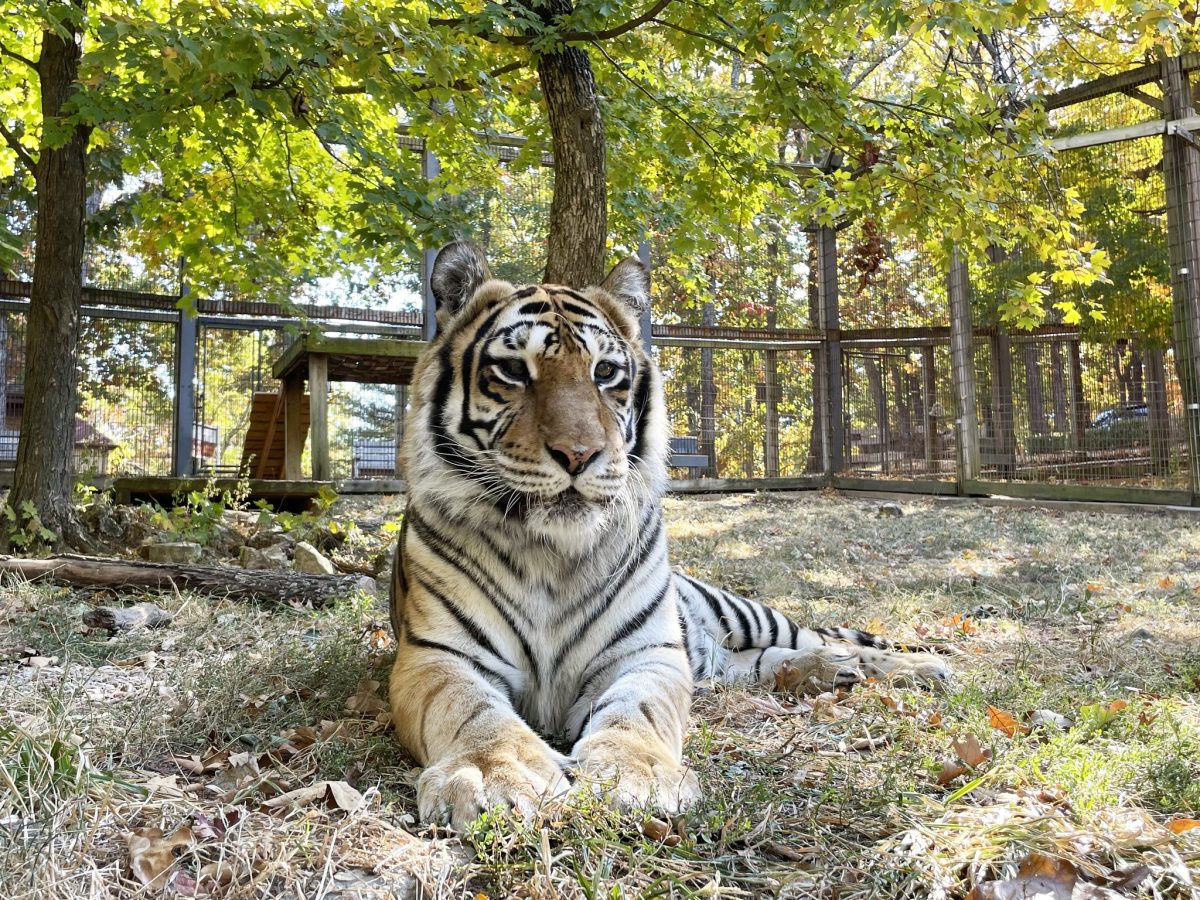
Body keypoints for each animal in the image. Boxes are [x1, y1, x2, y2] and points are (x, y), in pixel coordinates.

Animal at [389, 241, 952, 831]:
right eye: (513, 369)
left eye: (605, 372)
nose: (579, 455)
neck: (552, 553)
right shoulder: (437, 656)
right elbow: (472, 712)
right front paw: (495, 773)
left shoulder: (648, 653)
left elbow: (637, 711)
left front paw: (637, 774)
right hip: (722, 659)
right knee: (766, 662)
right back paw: (826, 674)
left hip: (747, 614)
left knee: (831, 640)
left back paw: (917, 667)